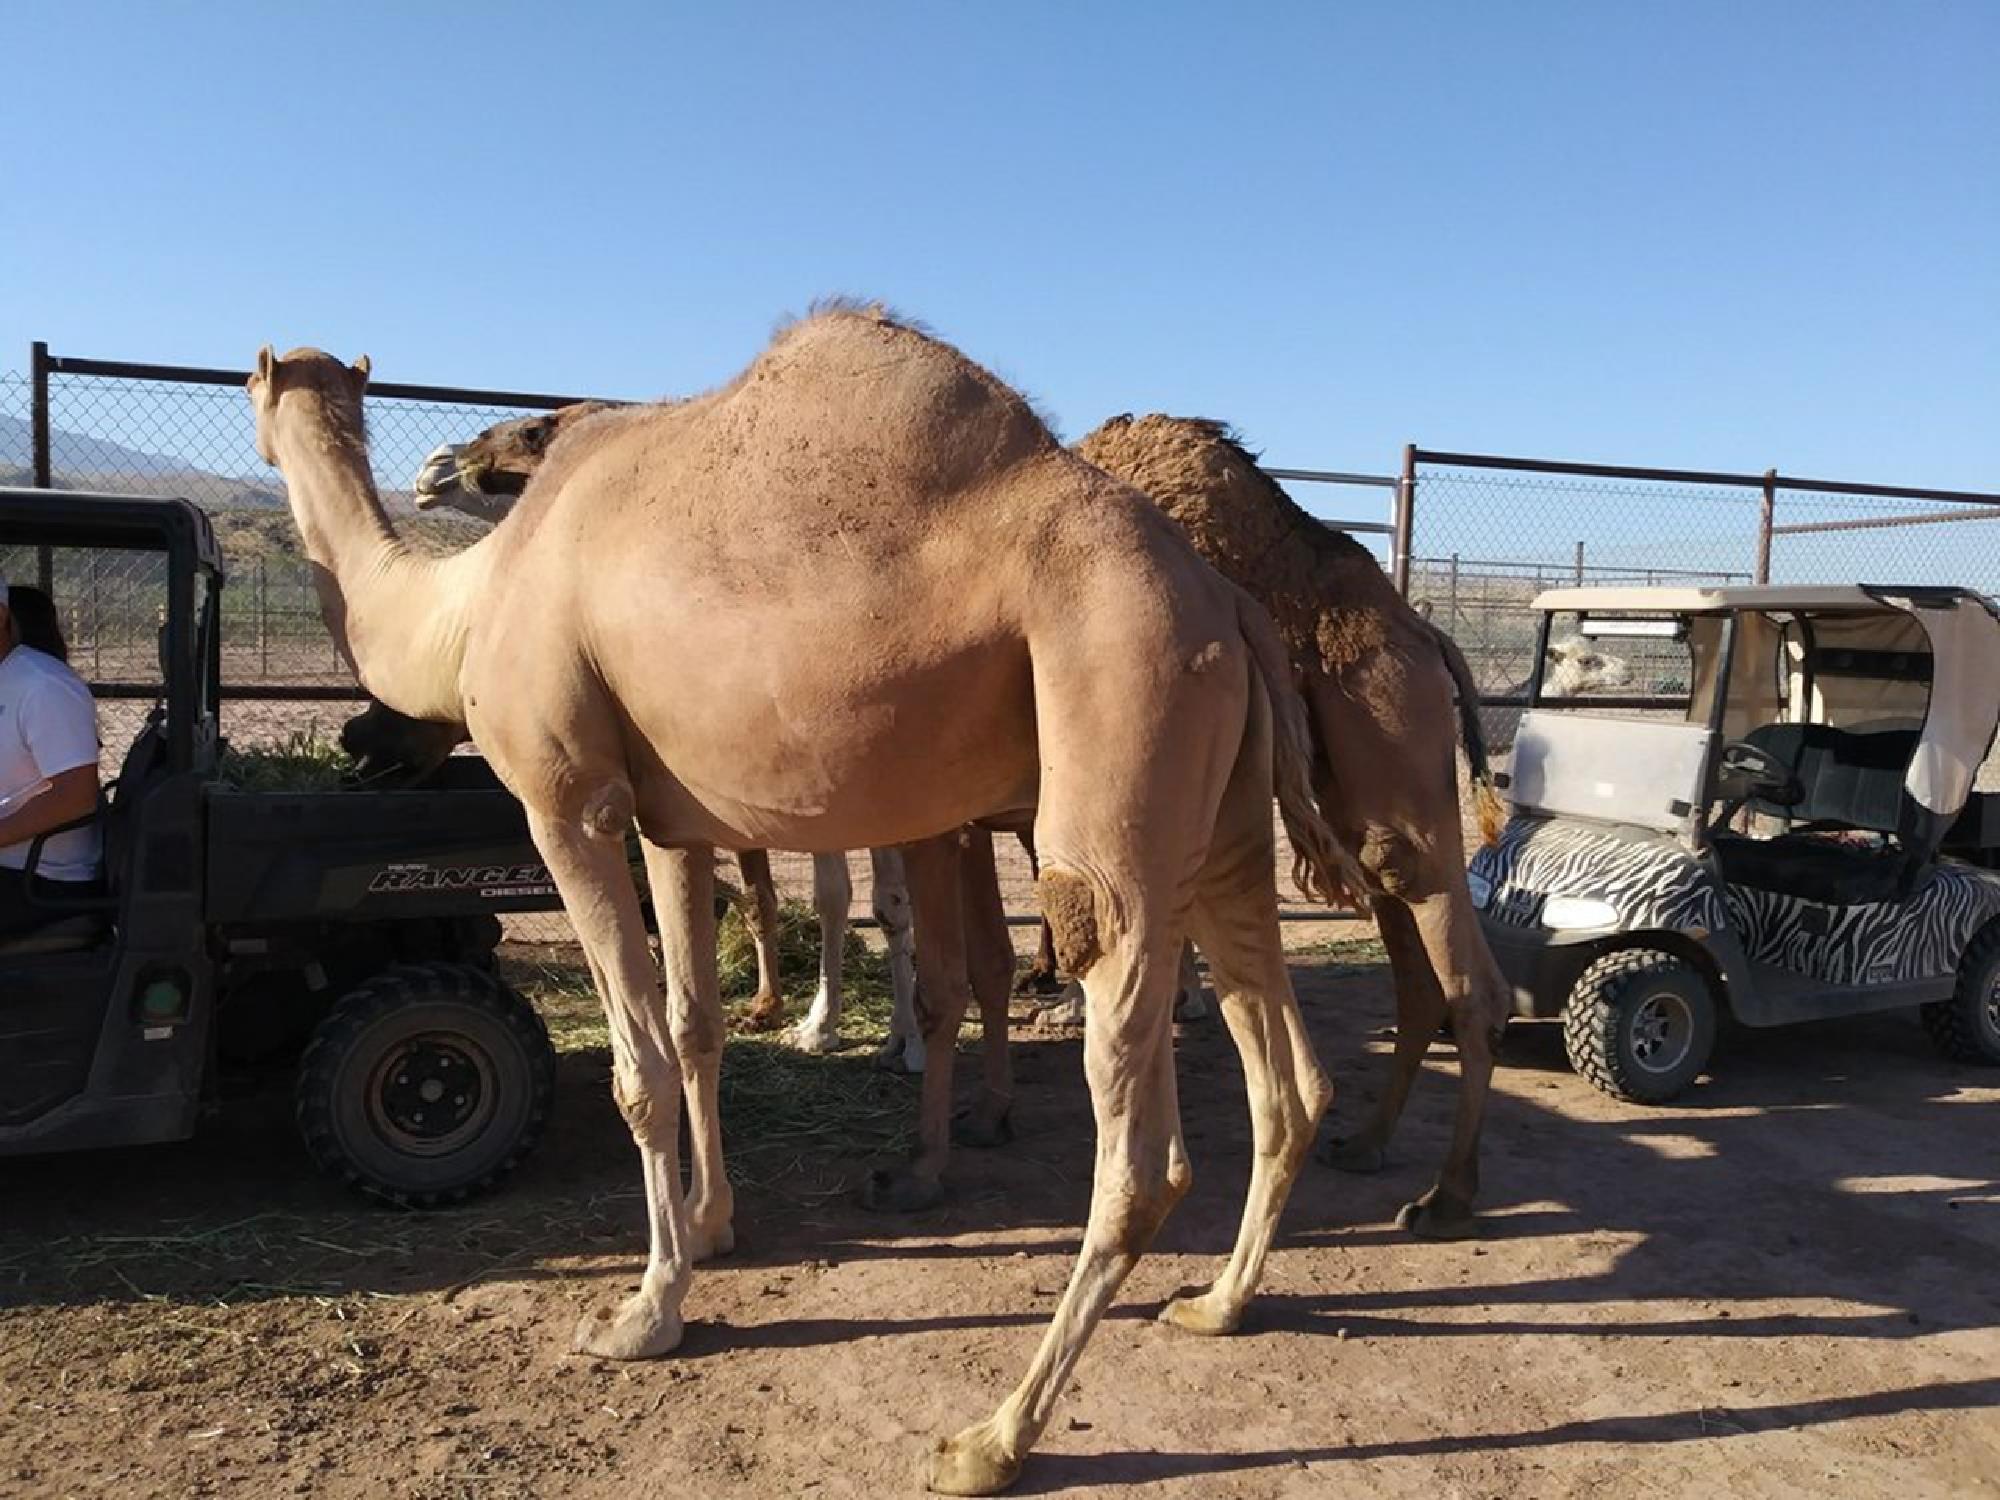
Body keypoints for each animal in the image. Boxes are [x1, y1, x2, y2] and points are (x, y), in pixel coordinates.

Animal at [249, 306, 1356, 1495]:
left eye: (536, 429)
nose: (435, 464)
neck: (467, 602)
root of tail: (1230, 604)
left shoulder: (569, 800)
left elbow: (637, 1068)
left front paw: (643, 1313)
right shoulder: (668, 823)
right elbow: (694, 1027)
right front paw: (708, 1224)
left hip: (1122, 725)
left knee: (1141, 1143)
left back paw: (990, 1437)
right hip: (1226, 820)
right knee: (1286, 1071)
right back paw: (1216, 1303)